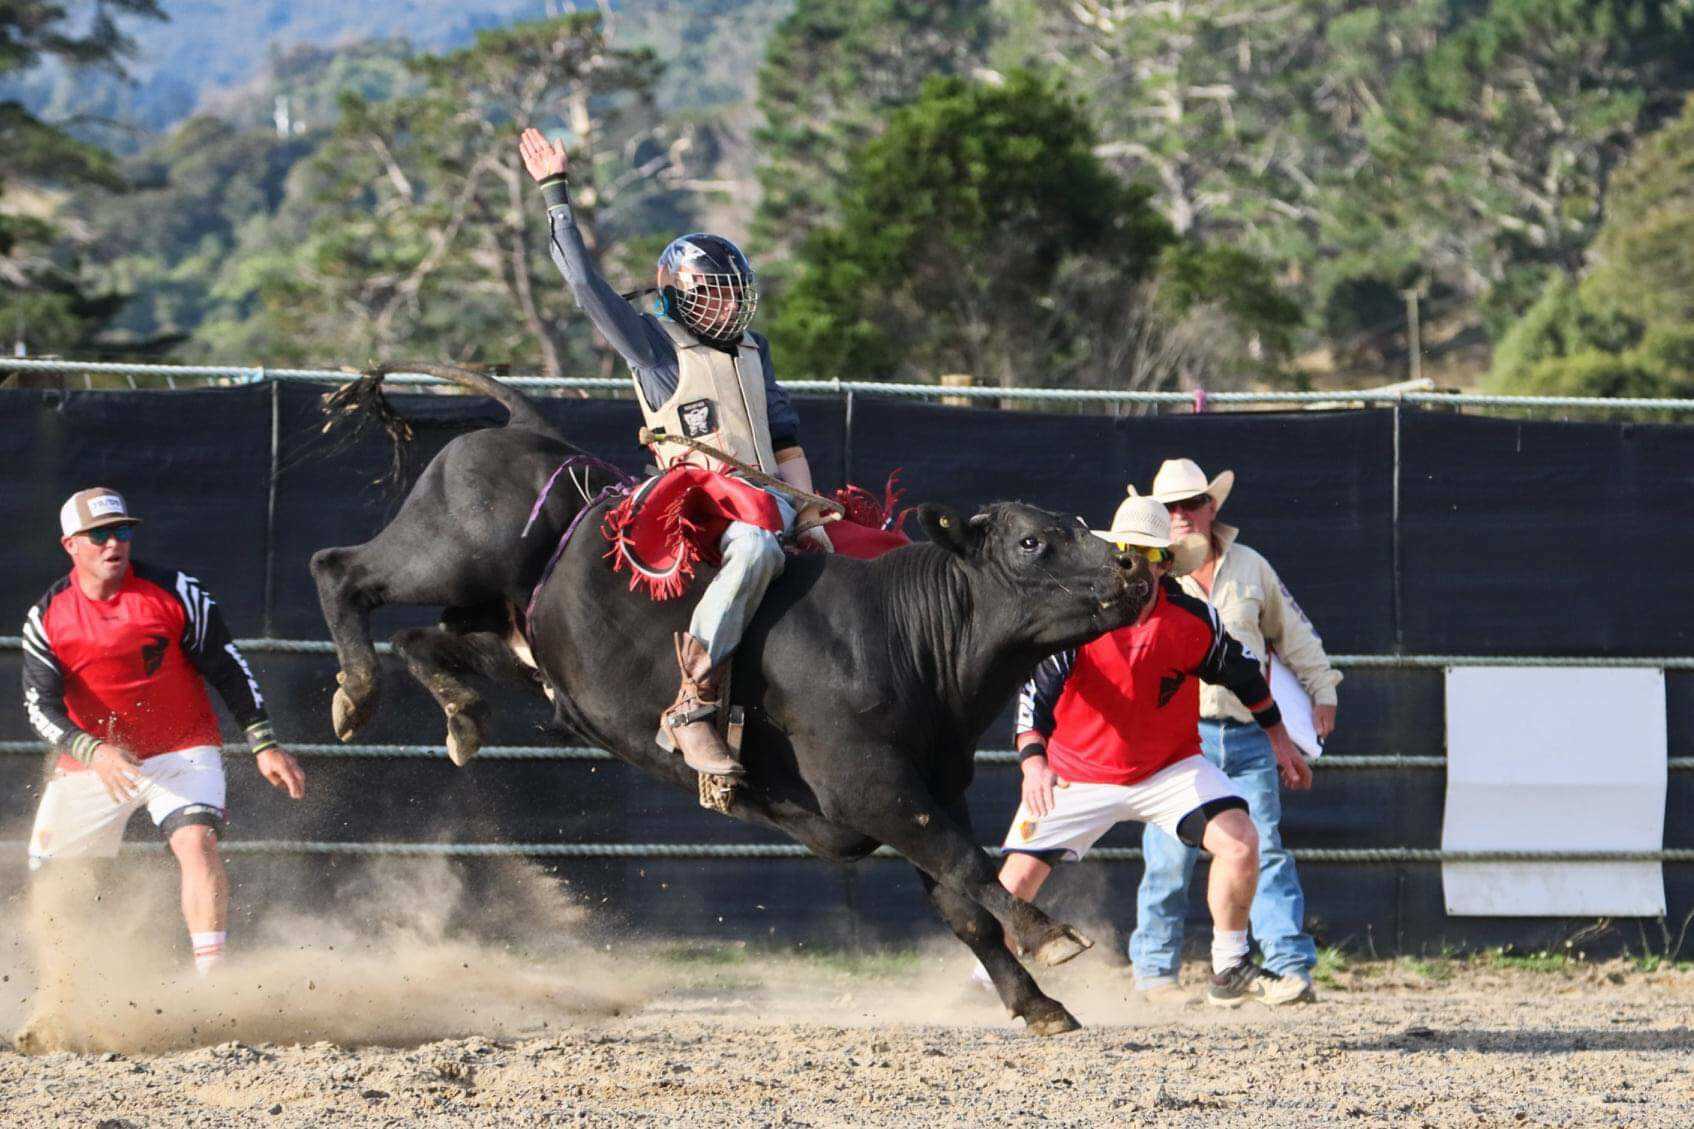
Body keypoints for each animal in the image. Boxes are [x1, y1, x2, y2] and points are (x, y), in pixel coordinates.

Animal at [311, 366, 1156, 1034]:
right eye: (1032, 542)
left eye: (1078, 524)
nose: (1135, 570)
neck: (905, 631)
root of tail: (527, 433)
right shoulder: (874, 787)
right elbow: (967, 863)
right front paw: (1049, 932)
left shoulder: (933, 789)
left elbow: (964, 901)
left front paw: (1036, 1001)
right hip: (443, 553)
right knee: (340, 569)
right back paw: (356, 692)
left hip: (512, 639)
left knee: (422, 639)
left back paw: (458, 713)